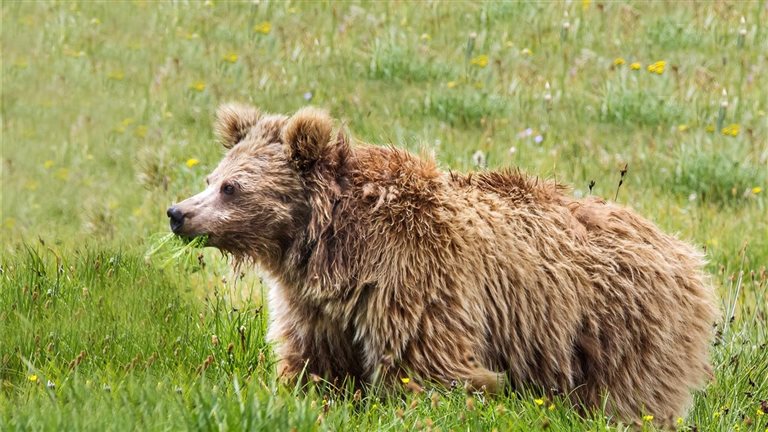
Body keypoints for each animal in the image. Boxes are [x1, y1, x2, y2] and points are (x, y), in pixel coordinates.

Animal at [167, 103, 719, 426]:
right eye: (212, 176)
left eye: (231, 187)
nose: (178, 214)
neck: (331, 245)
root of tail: (685, 253)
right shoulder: (316, 304)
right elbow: (314, 362)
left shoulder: (412, 277)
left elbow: (430, 367)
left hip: (623, 327)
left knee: (631, 398)